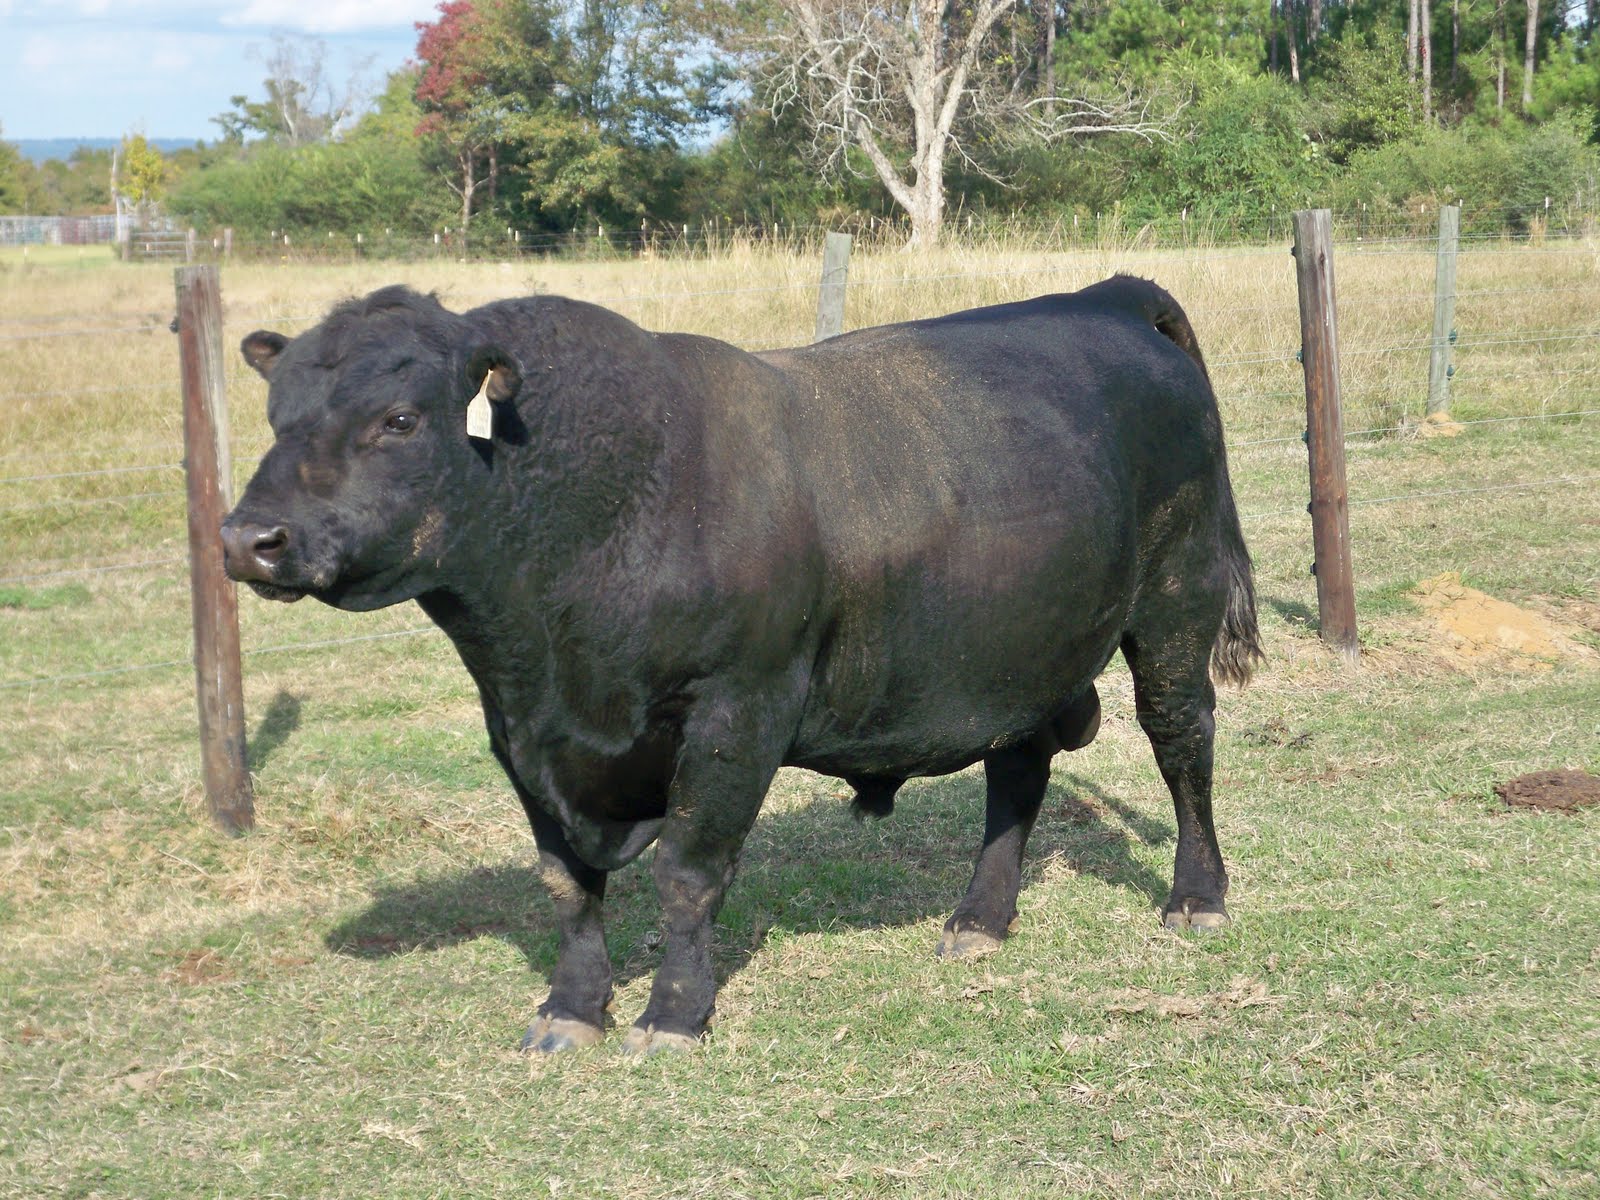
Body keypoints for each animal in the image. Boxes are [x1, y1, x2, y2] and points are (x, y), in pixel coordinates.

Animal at [221, 276, 1262, 1056]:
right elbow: (567, 882)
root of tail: (1105, 297)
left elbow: (688, 870)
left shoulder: (736, 711)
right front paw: (569, 1011)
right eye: (274, 416)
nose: (248, 540)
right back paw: (978, 919)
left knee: (1182, 741)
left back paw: (1197, 898)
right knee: (1018, 769)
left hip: (1177, 601)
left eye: (399, 419)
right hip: (1016, 650)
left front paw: (675, 1015)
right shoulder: (517, 729)